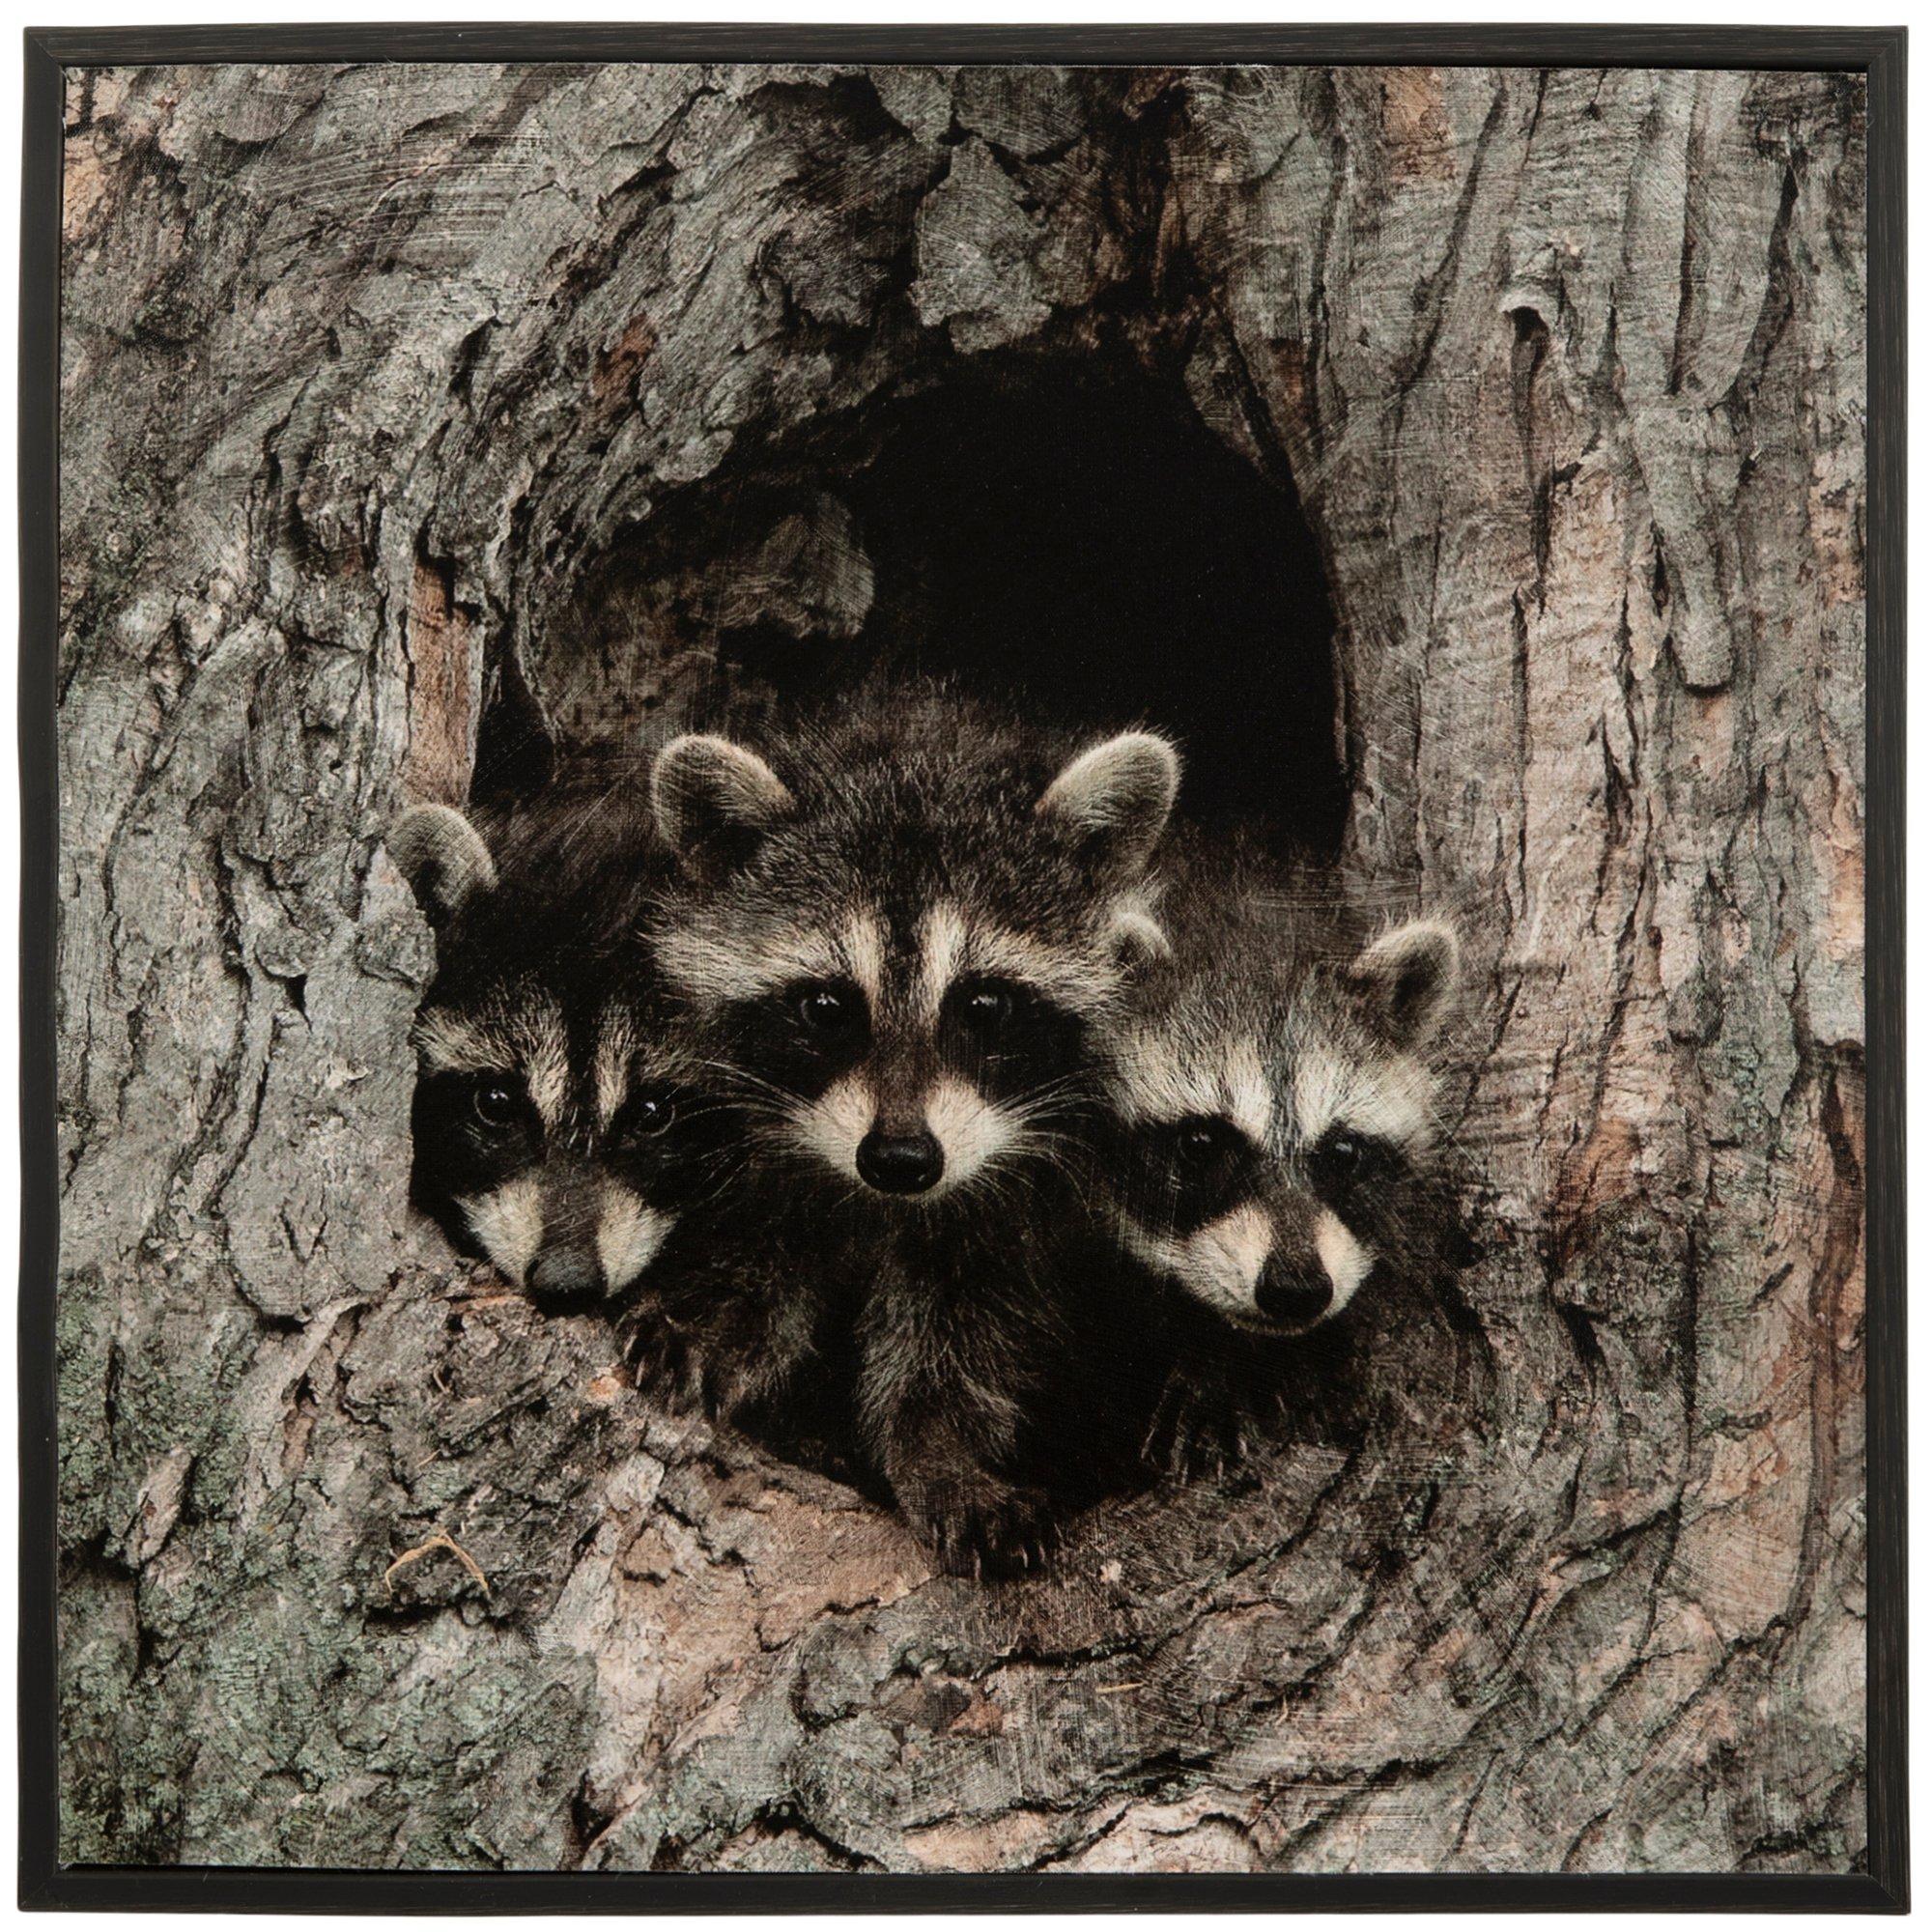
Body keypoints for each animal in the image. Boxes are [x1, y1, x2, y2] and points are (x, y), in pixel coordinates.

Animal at [646, 687, 1180, 1575]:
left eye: (984, 1004)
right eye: (827, 1006)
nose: (900, 1159)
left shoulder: (1013, 1200)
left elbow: (958, 1337)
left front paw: (941, 1454)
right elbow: (758, 1243)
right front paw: (717, 1321)